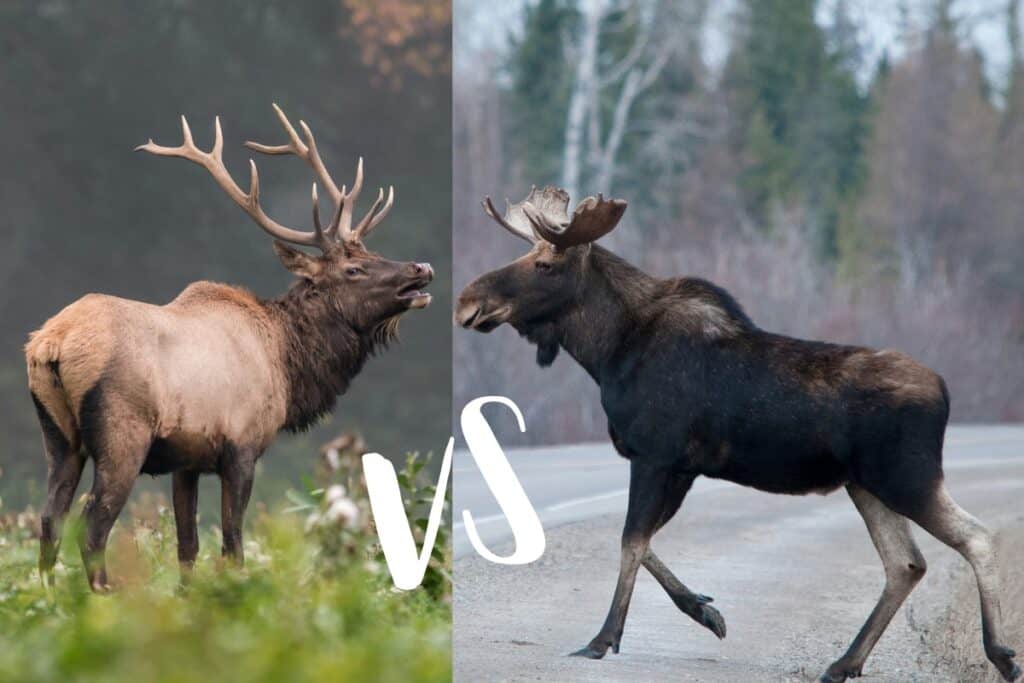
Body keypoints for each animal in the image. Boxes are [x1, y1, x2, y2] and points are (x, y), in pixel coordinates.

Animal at [25, 105, 433, 593]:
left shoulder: (186, 460)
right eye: (353, 268)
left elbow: (187, 547)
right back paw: (103, 597)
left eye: (372, 252)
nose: (421, 268)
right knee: (91, 526)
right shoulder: (241, 445)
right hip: (122, 433)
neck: (287, 364)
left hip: (59, 436)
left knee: (49, 520)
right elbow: (233, 545)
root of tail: (51, 343)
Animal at [455, 185, 1020, 683]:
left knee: (975, 536)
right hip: (866, 485)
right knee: (905, 564)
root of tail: (944, 391)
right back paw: (843, 663)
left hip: (906, 476)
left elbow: (631, 540)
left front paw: (602, 639)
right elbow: (643, 540)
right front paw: (705, 610)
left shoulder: (655, 455)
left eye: (544, 265)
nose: (466, 301)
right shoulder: (680, 466)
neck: (607, 351)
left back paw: (1000, 655)